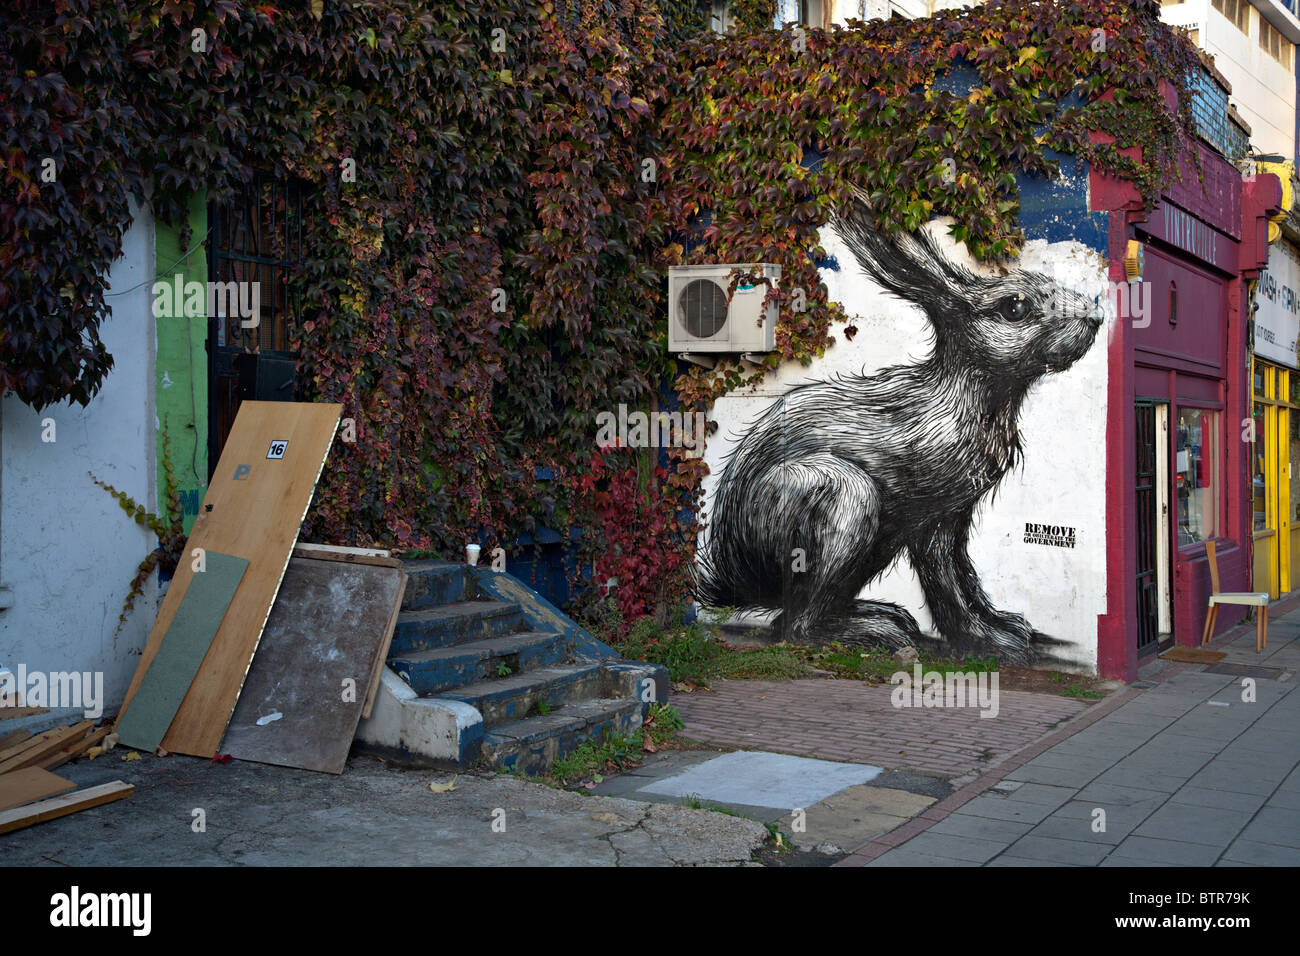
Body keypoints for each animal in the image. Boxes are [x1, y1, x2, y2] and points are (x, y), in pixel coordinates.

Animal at [696, 194, 1104, 664]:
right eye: (1015, 307)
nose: (1096, 315)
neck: (965, 393)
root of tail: (731, 581)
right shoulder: (931, 521)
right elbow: (947, 585)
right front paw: (992, 643)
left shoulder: (957, 518)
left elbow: (967, 578)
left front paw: (1006, 625)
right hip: (841, 497)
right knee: (795, 626)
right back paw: (878, 631)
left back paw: (885, 615)